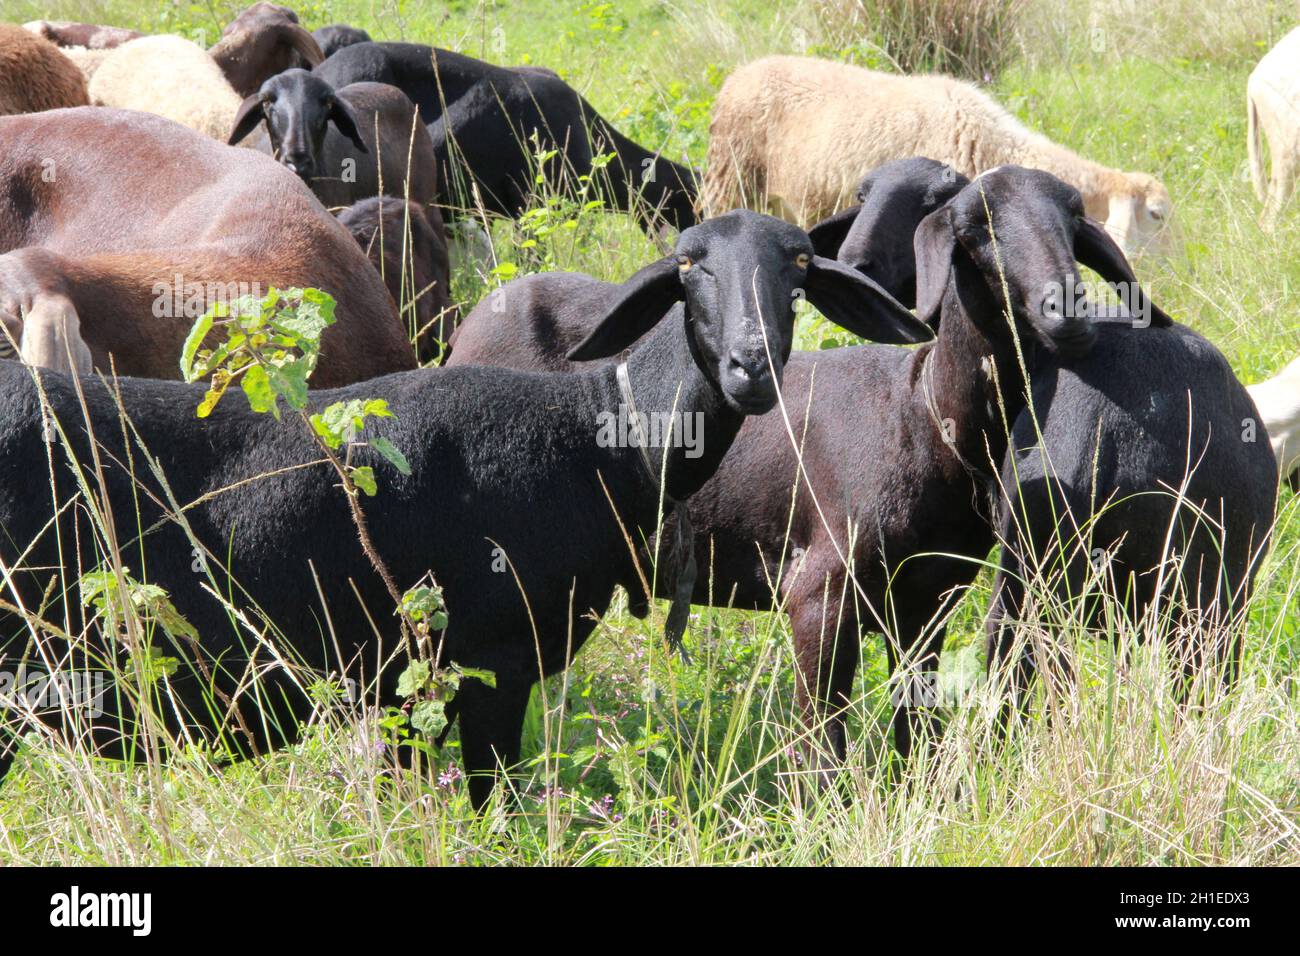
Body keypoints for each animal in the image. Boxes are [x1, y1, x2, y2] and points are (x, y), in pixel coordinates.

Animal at [448, 166, 1194, 767]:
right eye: (973, 226)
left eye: (1073, 219)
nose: (1067, 312)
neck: (919, 415)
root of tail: (484, 312)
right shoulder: (818, 596)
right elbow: (823, 746)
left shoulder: (927, 601)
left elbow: (915, 729)